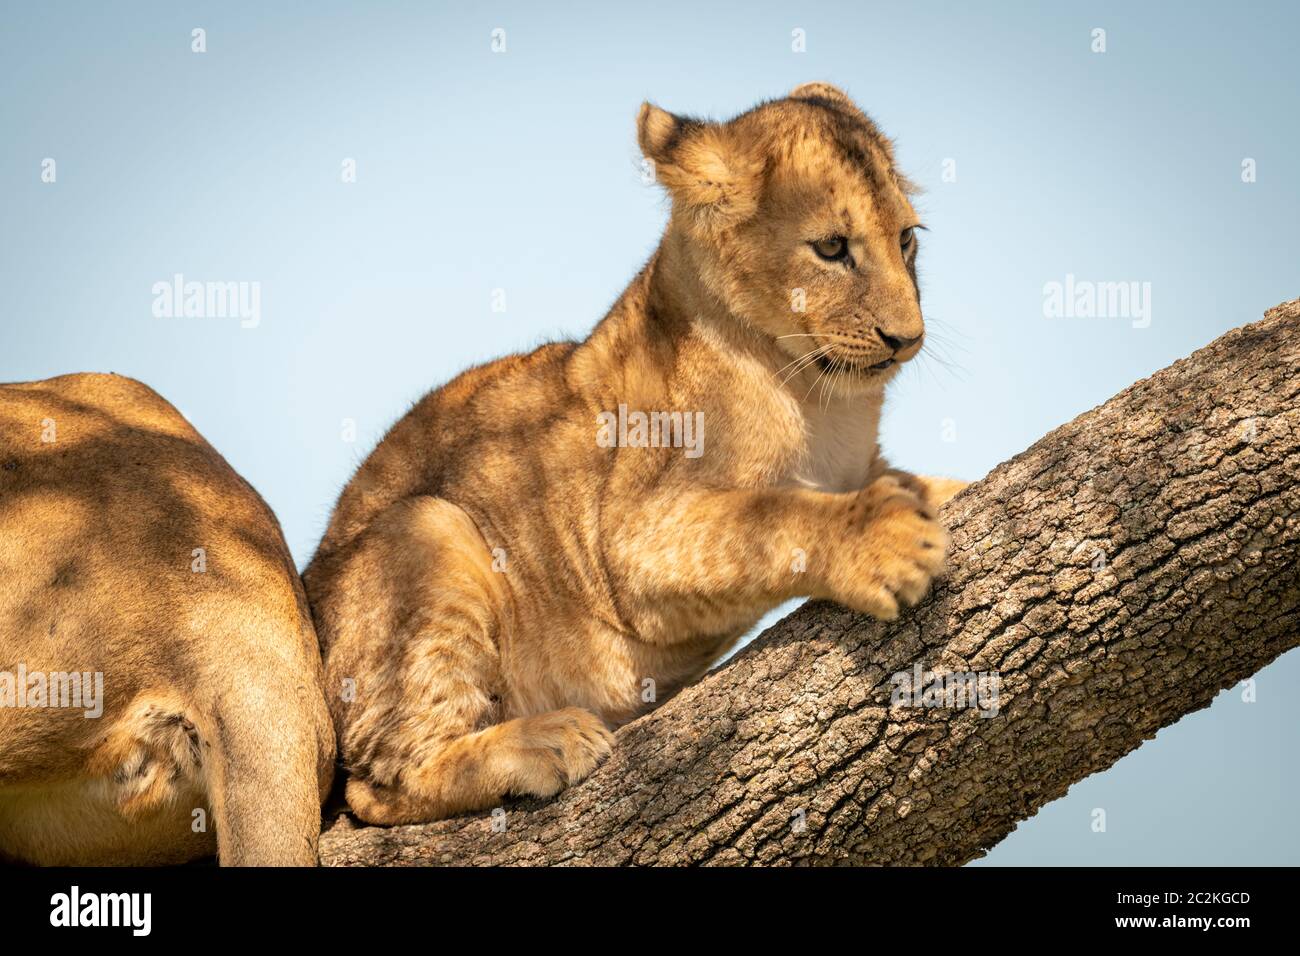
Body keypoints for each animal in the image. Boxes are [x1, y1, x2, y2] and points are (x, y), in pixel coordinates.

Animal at [304, 83, 967, 825]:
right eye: (831, 248)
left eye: (906, 239)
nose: (906, 339)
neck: (825, 402)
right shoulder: (633, 536)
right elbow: (775, 519)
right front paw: (883, 539)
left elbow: (903, 479)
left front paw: (945, 490)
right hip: (427, 528)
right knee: (377, 786)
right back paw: (544, 741)